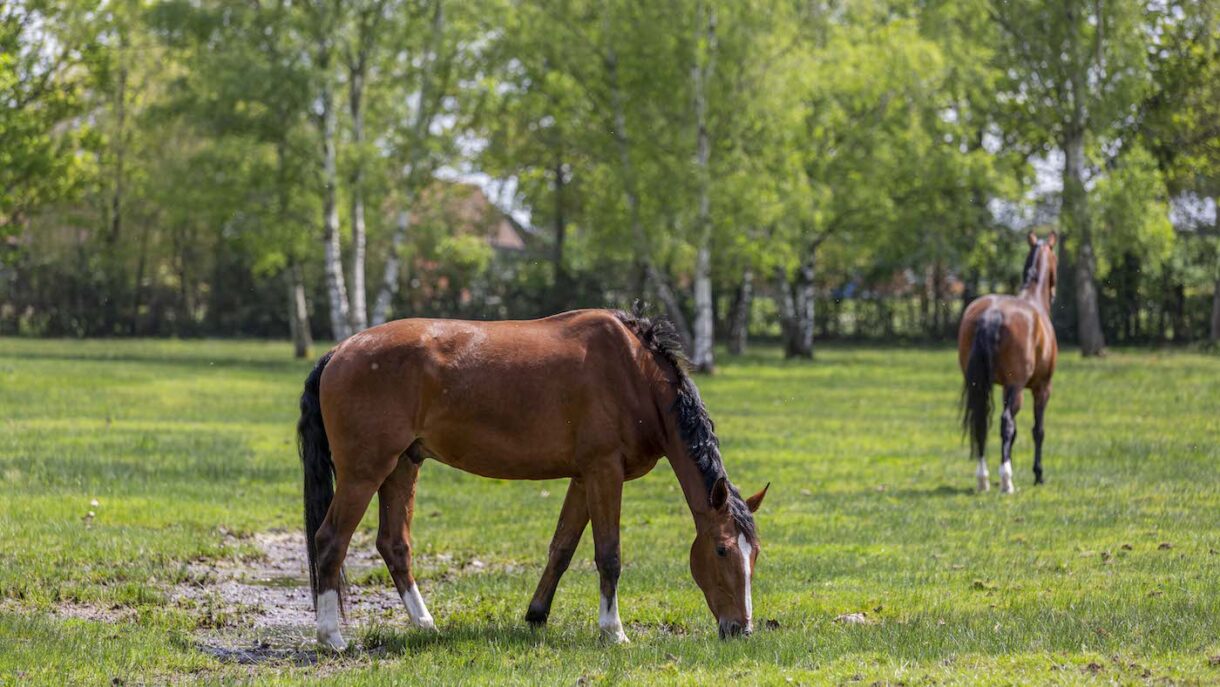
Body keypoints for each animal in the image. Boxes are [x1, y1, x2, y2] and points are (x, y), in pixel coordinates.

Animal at [297, 307, 768, 651]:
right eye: (722, 550)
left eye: (756, 554)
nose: (740, 629)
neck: (634, 374)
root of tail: (339, 351)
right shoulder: (604, 472)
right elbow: (609, 555)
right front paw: (613, 631)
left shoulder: (583, 477)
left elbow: (562, 548)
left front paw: (537, 614)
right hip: (365, 472)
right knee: (330, 541)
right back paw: (332, 638)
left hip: (402, 466)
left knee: (394, 545)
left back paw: (426, 624)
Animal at [958, 232, 1059, 494]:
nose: (1054, 291)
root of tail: (990, 314)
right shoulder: (1041, 388)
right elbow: (1037, 430)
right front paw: (1038, 474)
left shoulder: (1003, 387)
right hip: (1017, 388)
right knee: (1006, 423)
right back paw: (1006, 480)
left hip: (979, 385)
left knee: (981, 423)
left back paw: (983, 479)